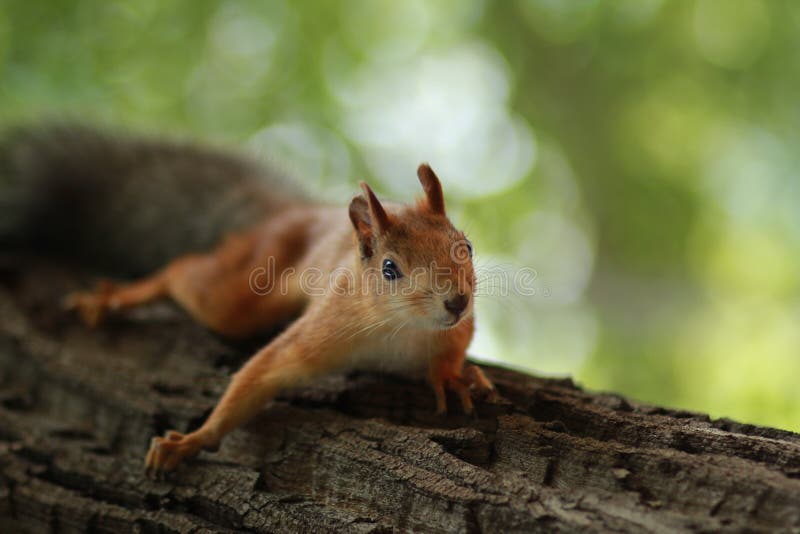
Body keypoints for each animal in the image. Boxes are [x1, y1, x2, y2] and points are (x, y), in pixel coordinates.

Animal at [0, 123, 498, 476]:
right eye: (390, 268)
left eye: (467, 247)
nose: (456, 301)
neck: (404, 329)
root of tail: (294, 212)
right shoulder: (327, 326)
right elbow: (263, 370)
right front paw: (193, 440)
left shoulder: (459, 328)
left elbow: (454, 346)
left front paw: (451, 376)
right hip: (243, 292)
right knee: (184, 274)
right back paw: (120, 296)